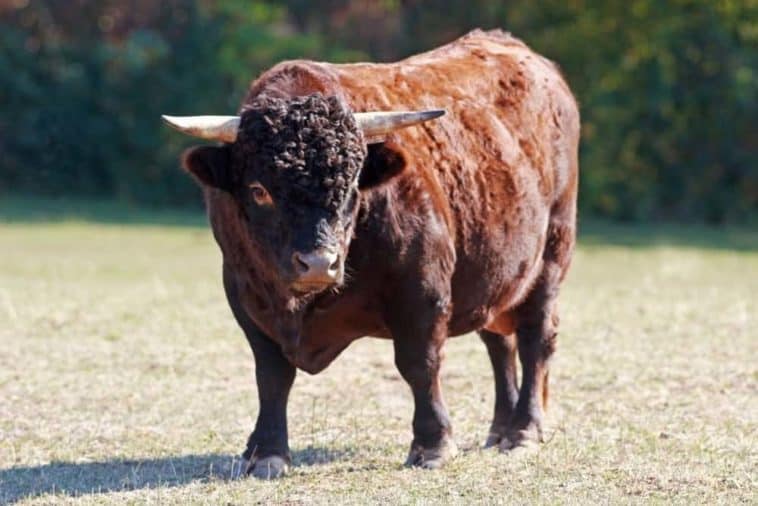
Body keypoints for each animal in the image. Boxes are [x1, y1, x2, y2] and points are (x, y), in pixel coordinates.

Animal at [163, 29, 579, 479]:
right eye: (259, 190)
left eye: (351, 183)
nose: (318, 263)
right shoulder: (244, 294)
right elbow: (271, 374)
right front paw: (266, 452)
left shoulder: (422, 291)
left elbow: (419, 364)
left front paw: (432, 444)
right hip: (493, 277)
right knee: (499, 344)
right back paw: (500, 429)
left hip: (551, 257)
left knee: (535, 338)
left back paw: (523, 430)